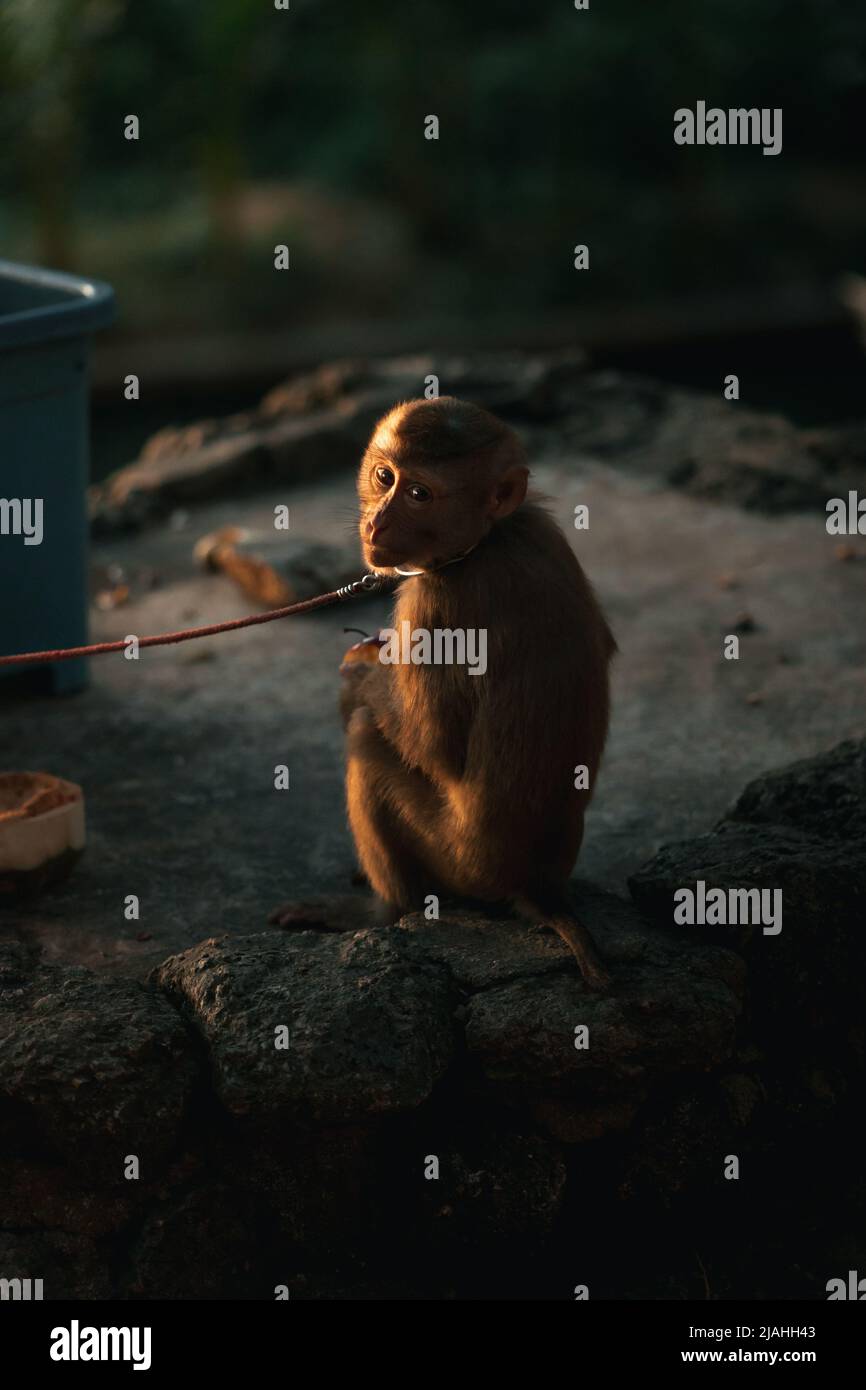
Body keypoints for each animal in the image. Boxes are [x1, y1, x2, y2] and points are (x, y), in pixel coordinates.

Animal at [337, 396, 616, 990]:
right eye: (385, 477)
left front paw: (361, 674)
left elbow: (433, 746)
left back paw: (382, 913)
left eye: (420, 494)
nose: (377, 521)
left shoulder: (433, 602)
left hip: (458, 864)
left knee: (366, 739)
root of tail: (535, 887)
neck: (488, 541)